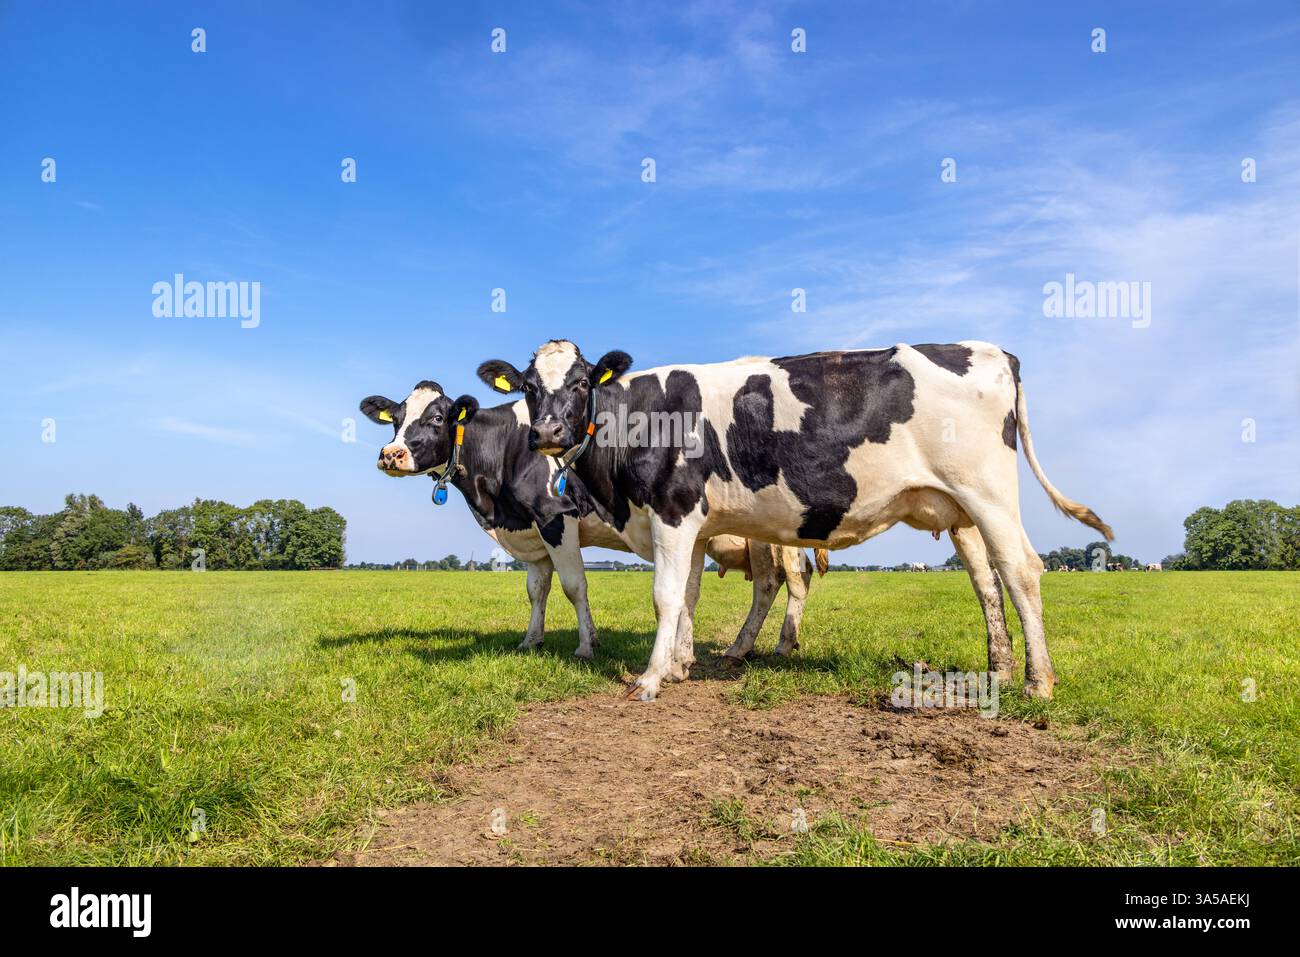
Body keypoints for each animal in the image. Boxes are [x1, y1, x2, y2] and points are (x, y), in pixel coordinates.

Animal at [358, 380, 826, 661]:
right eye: (395, 419)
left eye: (437, 418)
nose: (390, 454)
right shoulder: (531, 532)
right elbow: (536, 590)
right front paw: (531, 640)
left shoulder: (557, 518)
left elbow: (574, 586)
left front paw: (587, 644)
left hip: (770, 536)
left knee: (776, 584)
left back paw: (752, 646)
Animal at [477, 339, 1112, 701]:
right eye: (528, 387)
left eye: (582, 381)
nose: (547, 432)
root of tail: (992, 349)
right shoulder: (696, 525)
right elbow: (687, 596)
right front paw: (681, 666)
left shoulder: (672, 514)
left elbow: (663, 596)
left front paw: (652, 678)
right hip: (963, 509)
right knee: (989, 580)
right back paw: (1002, 672)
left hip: (989, 495)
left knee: (1022, 570)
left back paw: (1037, 681)